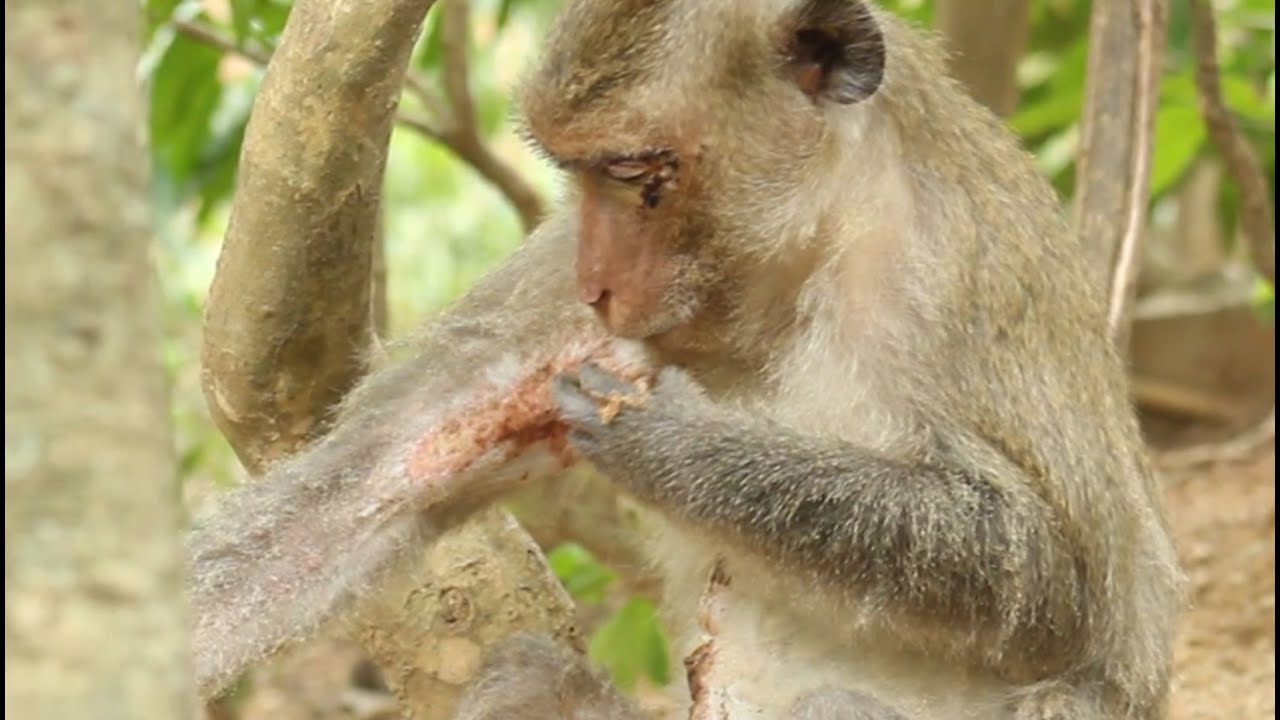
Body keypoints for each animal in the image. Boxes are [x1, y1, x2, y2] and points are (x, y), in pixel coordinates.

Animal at [186, 0, 1184, 718]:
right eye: (580, 175)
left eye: (640, 177)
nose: (598, 284)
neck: (810, 253)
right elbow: (376, 483)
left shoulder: (952, 274)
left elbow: (1054, 576)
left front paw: (670, 446)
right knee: (523, 679)